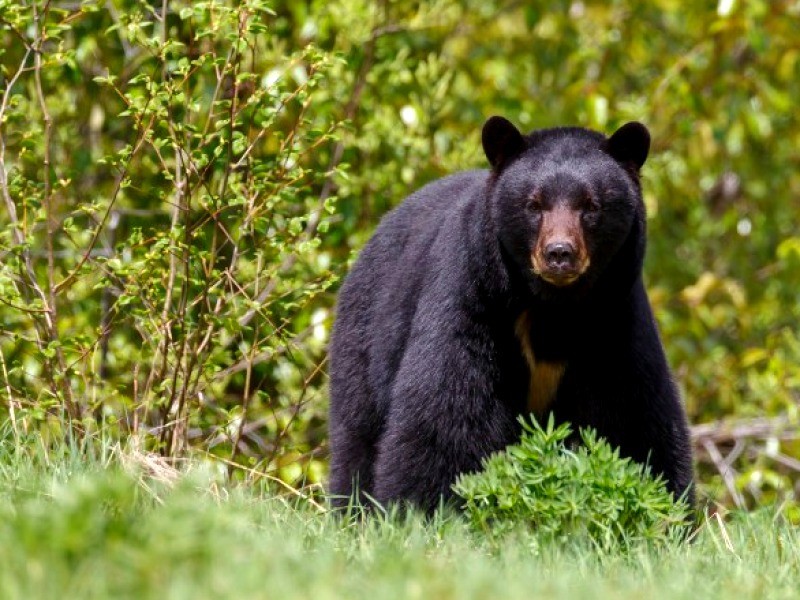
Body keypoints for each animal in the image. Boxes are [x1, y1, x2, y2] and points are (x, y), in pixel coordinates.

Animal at [328, 115, 694, 513]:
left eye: (591, 205)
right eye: (534, 204)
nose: (559, 253)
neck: (555, 308)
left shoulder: (614, 317)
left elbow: (633, 417)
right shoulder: (474, 297)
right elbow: (447, 411)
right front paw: (421, 510)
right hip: (366, 335)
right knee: (358, 435)